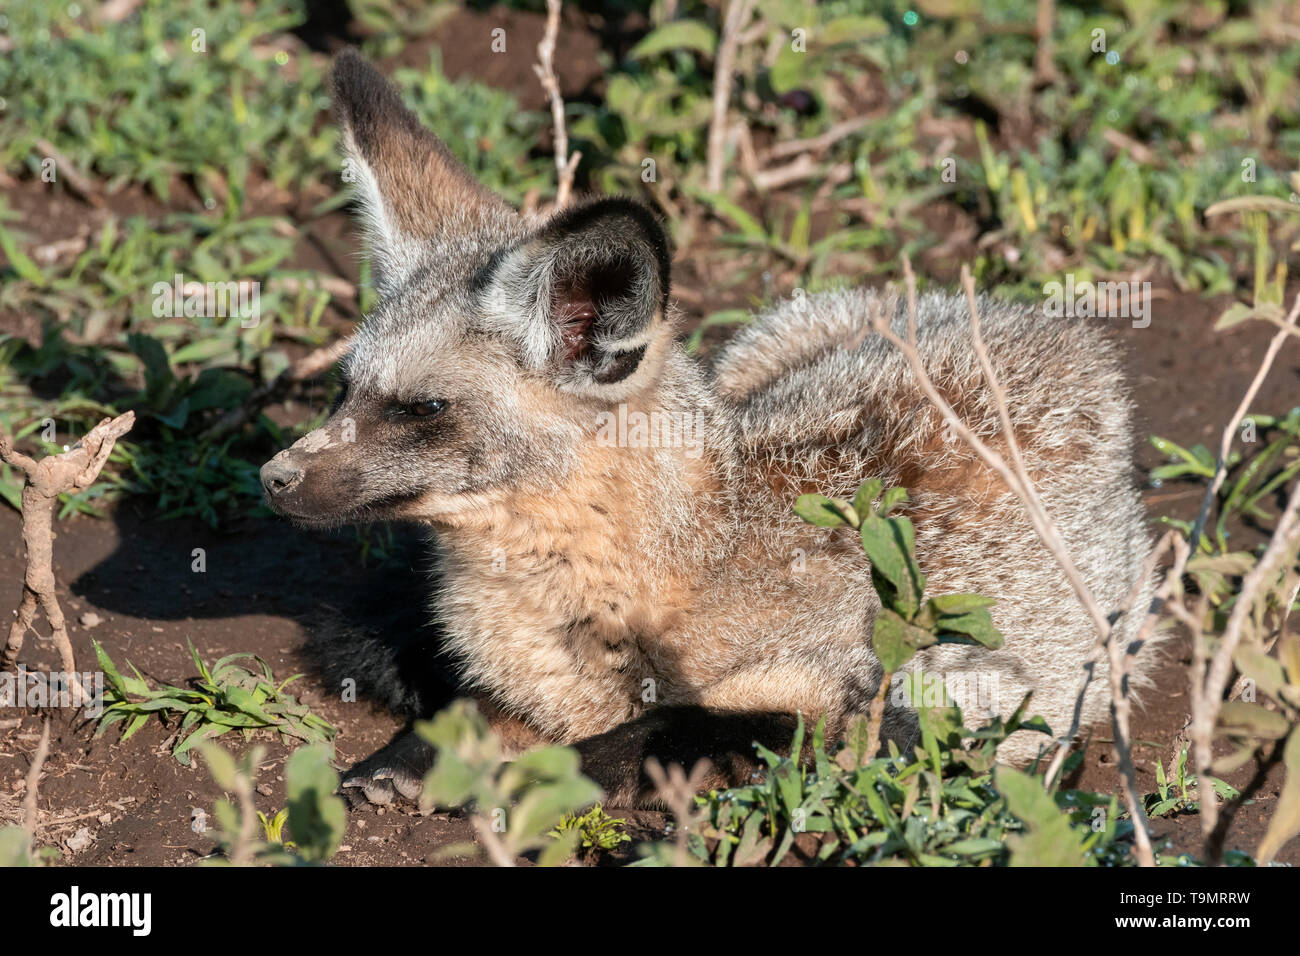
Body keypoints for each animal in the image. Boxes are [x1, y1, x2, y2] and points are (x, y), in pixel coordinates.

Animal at [260, 49, 1156, 808]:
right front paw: (407, 758)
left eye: (422, 410)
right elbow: (472, 708)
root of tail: (1042, 322)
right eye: (343, 390)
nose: (273, 478)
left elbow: (662, 728)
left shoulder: (905, 696)